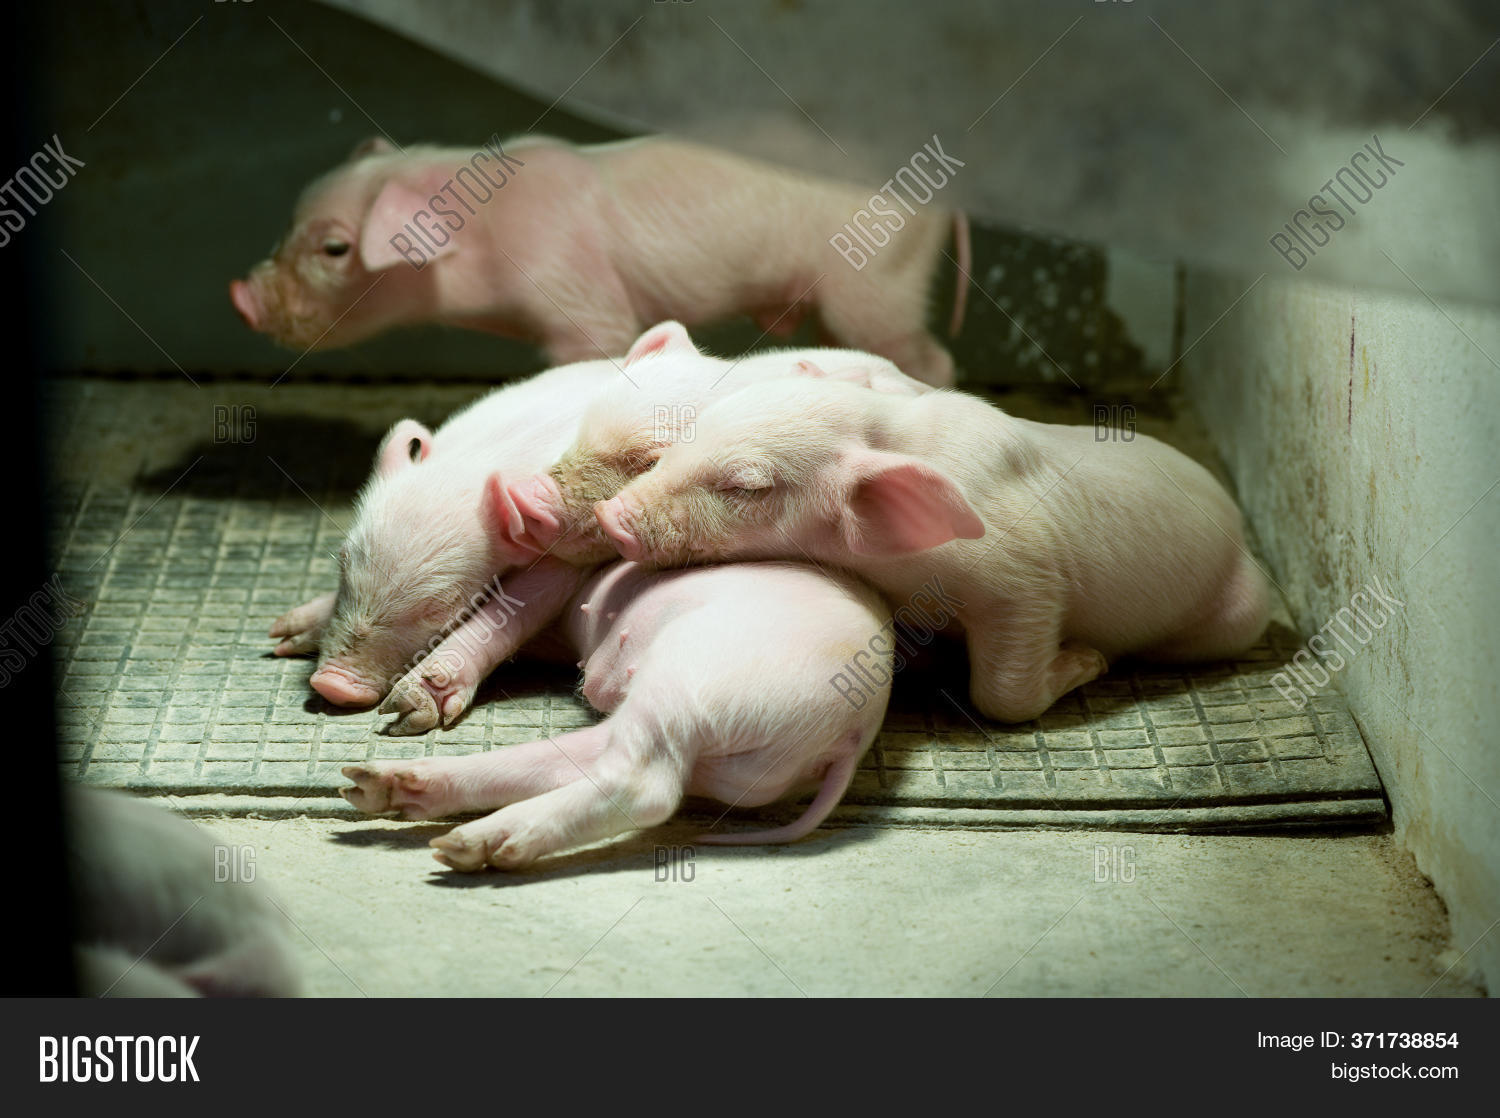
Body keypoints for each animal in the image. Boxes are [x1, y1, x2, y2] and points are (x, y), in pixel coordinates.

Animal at [231, 134, 964, 386]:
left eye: (335, 248)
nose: (240, 292)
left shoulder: (579, 296)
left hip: (879, 282)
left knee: (932, 358)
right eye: (287, 226)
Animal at [341, 560, 892, 870]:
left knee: (646, 785)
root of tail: (851, 734)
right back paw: (372, 786)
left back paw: (473, 844)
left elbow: (509, 608)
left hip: (696, 666)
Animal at [591, 375, 1271, 723]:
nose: (609, 515)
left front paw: (1091, 661)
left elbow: (1002, 695)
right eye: (688, 435)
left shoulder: (1026, 579)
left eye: (745, 487)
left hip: (1241, 614)